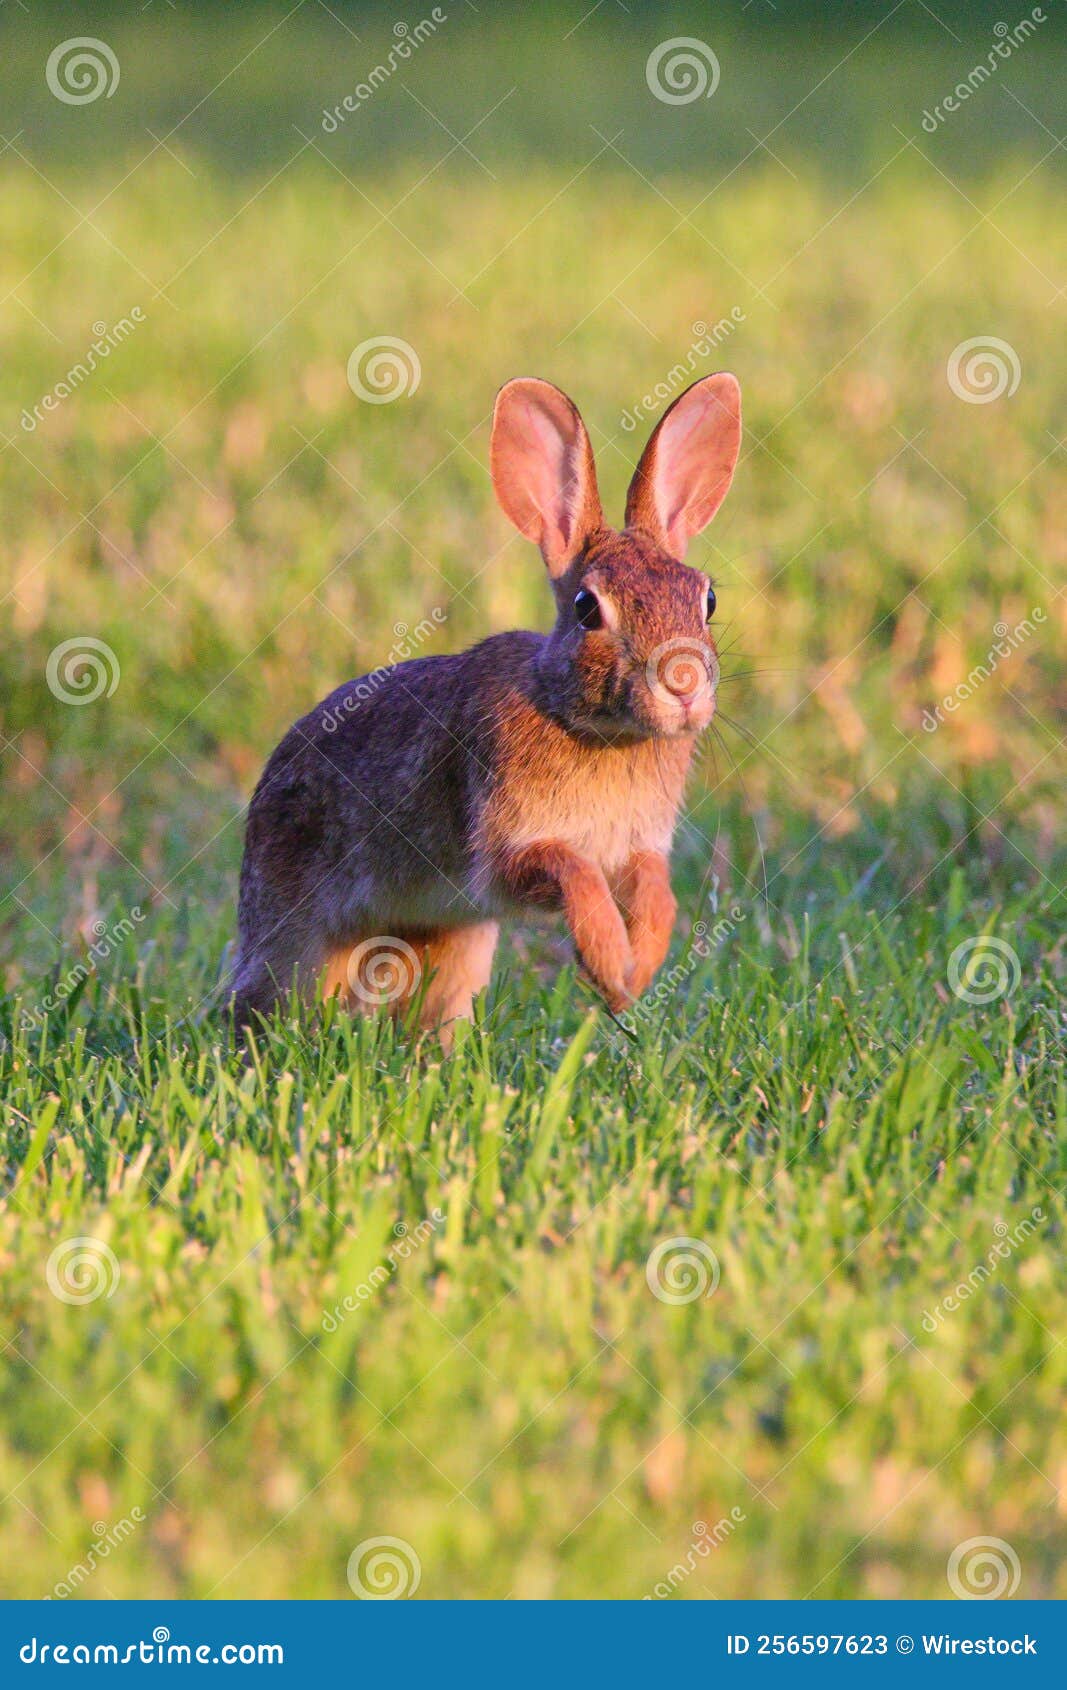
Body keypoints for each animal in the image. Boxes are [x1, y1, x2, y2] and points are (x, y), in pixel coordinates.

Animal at [231, 371, 742, 1041]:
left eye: (706, 599)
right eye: (587, 608)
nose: (682, 682)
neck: (586, 721)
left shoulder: (639, 849)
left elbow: (659, 895)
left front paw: (637, 974)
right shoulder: (506, 850)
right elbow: (572, 872)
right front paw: (611, 967)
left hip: (457, 946)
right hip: (300, 940)